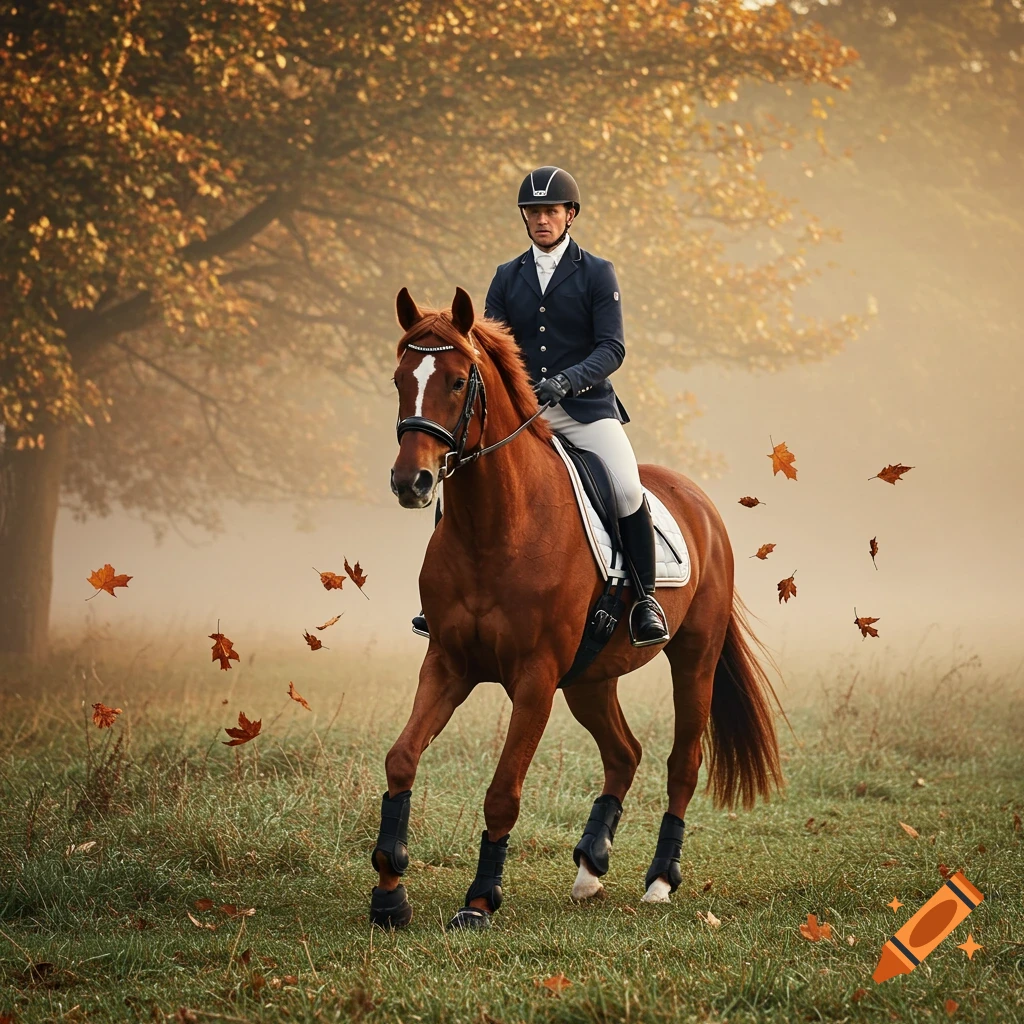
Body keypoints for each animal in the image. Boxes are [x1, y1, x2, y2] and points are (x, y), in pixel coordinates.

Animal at [371, 285, 783, 930]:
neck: (495, 525)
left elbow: (503, 791)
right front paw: (389, 890)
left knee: (681, 762)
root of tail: (700, 502)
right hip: (590, 678)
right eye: (398, 379)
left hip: (694, 658)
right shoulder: (447, 664)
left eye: (459, 381)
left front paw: (480, 901)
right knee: (624, 752)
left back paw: (659, 880)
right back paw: (591, 864)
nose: (409, 482)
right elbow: (401, 759)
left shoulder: (535, 678)